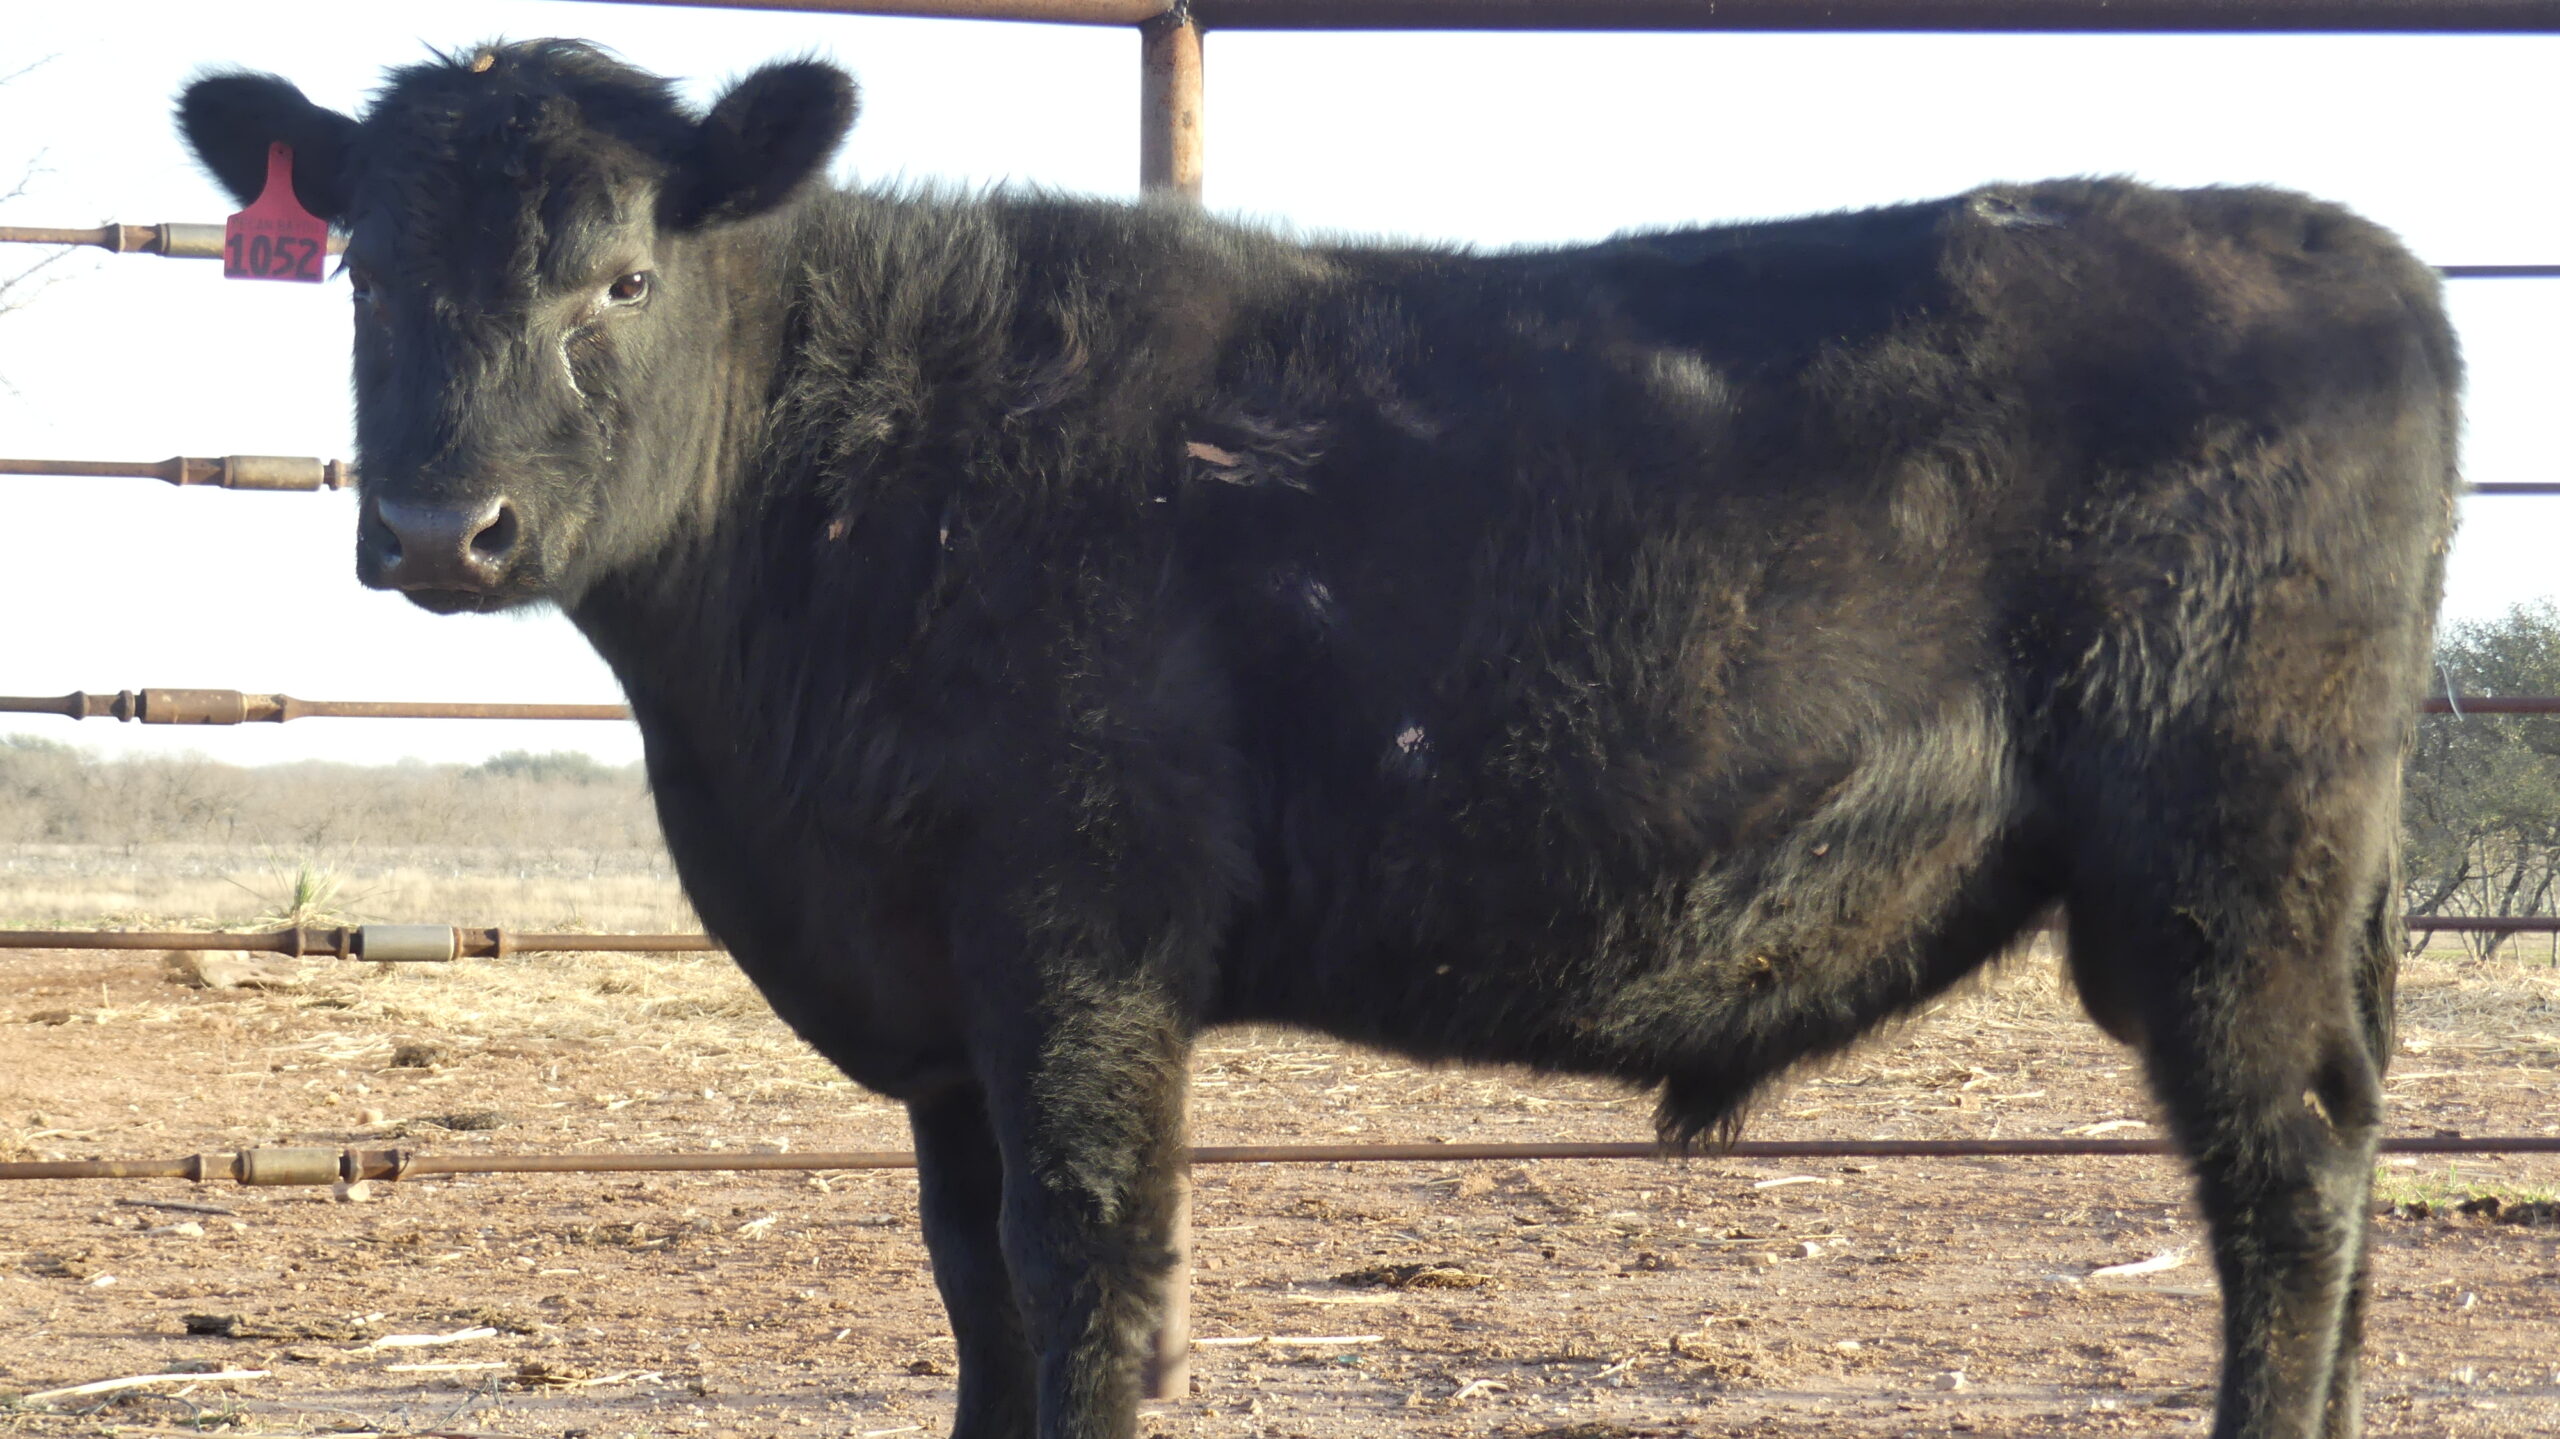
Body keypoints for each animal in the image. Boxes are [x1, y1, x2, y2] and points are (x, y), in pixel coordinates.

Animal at [180, 39, 2458, 1439]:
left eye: (627, 279)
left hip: (2226, 865)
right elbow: (970, 1277)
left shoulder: (1078, 927)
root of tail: (2342, 244)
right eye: (363, 271)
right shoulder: (938, 996)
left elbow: (1088, 1255)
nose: (436, 526)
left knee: (2286, 1178)